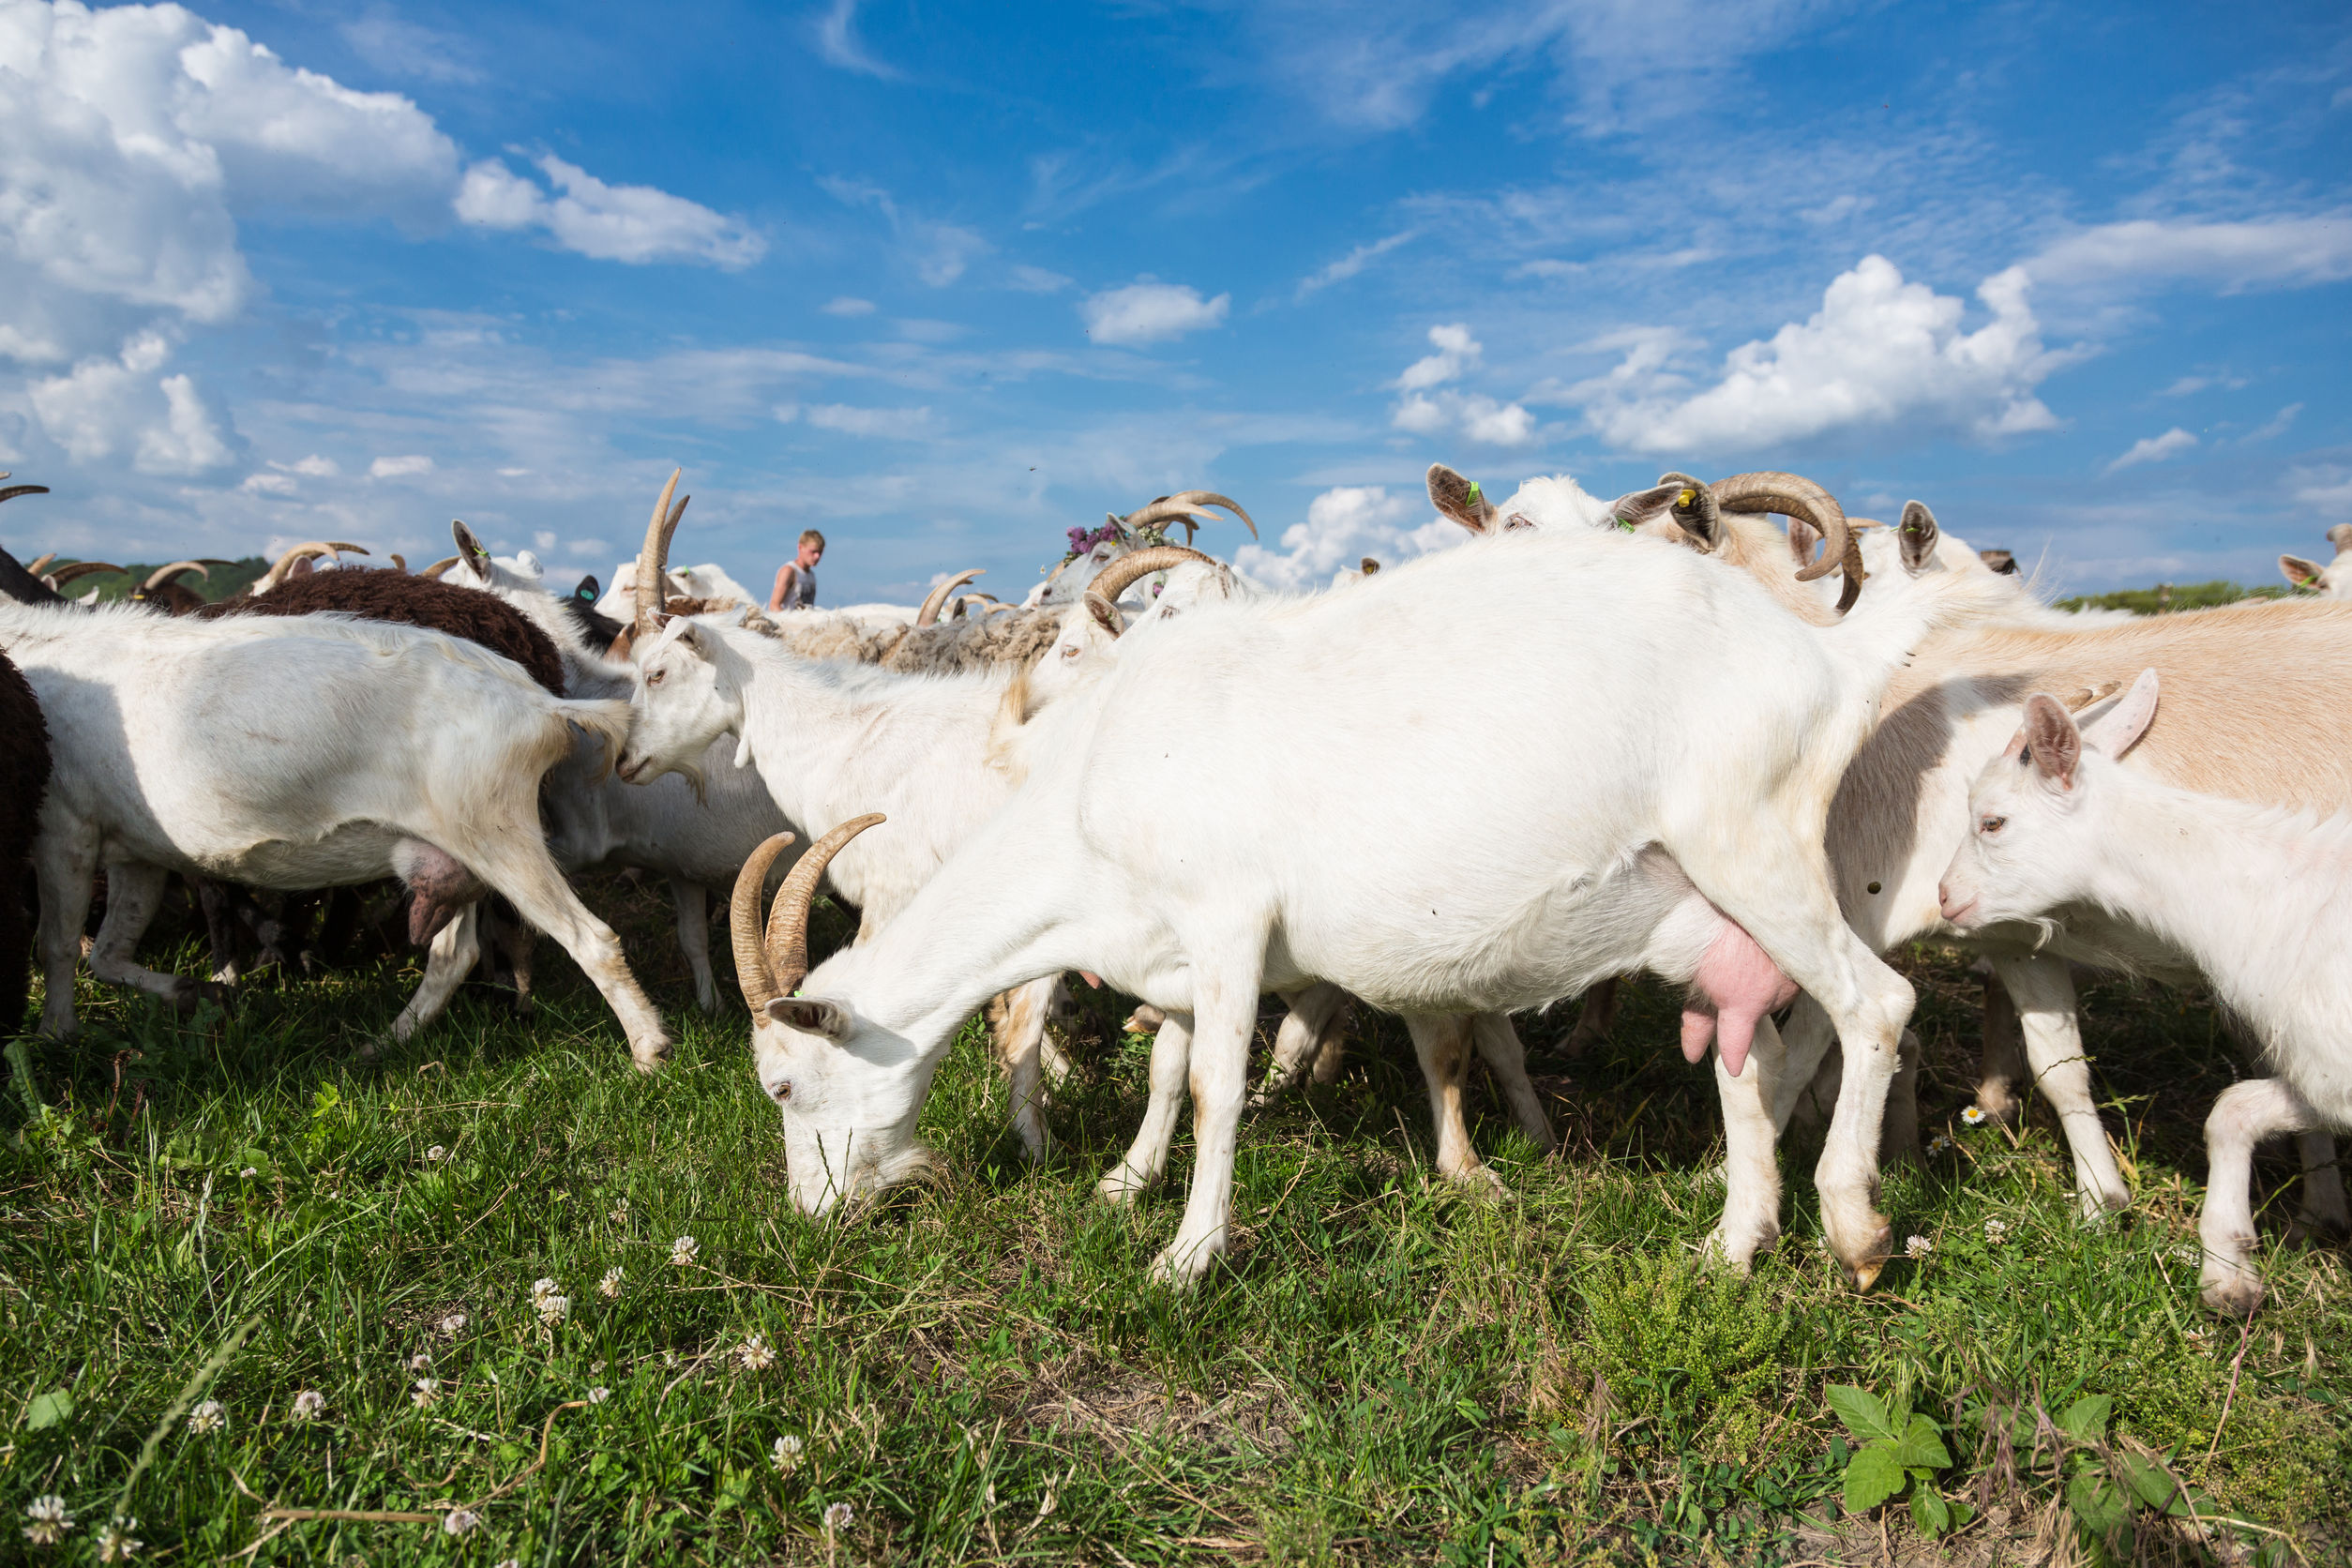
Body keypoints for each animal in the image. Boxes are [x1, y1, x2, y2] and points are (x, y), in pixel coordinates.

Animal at [667, 503, 1970, 1288]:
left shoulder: (1227, 921)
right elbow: (1161, 1068)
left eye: (783, 1082)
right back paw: (1732, 1244)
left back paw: (1854, 1227)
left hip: (1756, 843)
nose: (811, 1219)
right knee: (1754, 1049)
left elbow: (1215, 1086)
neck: (1093, 774)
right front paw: (1125, 1181)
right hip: (1705, 912)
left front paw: (1189, 1254)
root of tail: (1823, 657)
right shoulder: (1167, 946)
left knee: (1878, 1005)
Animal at [1939, 670, 2352, 1313]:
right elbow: (2238, 1109)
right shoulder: (2318, 1069)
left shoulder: (2332, 1069)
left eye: (1992, 822)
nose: (1944, 895)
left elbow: (2228, 1110)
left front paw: (2226, 1275)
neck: (2279, 893)